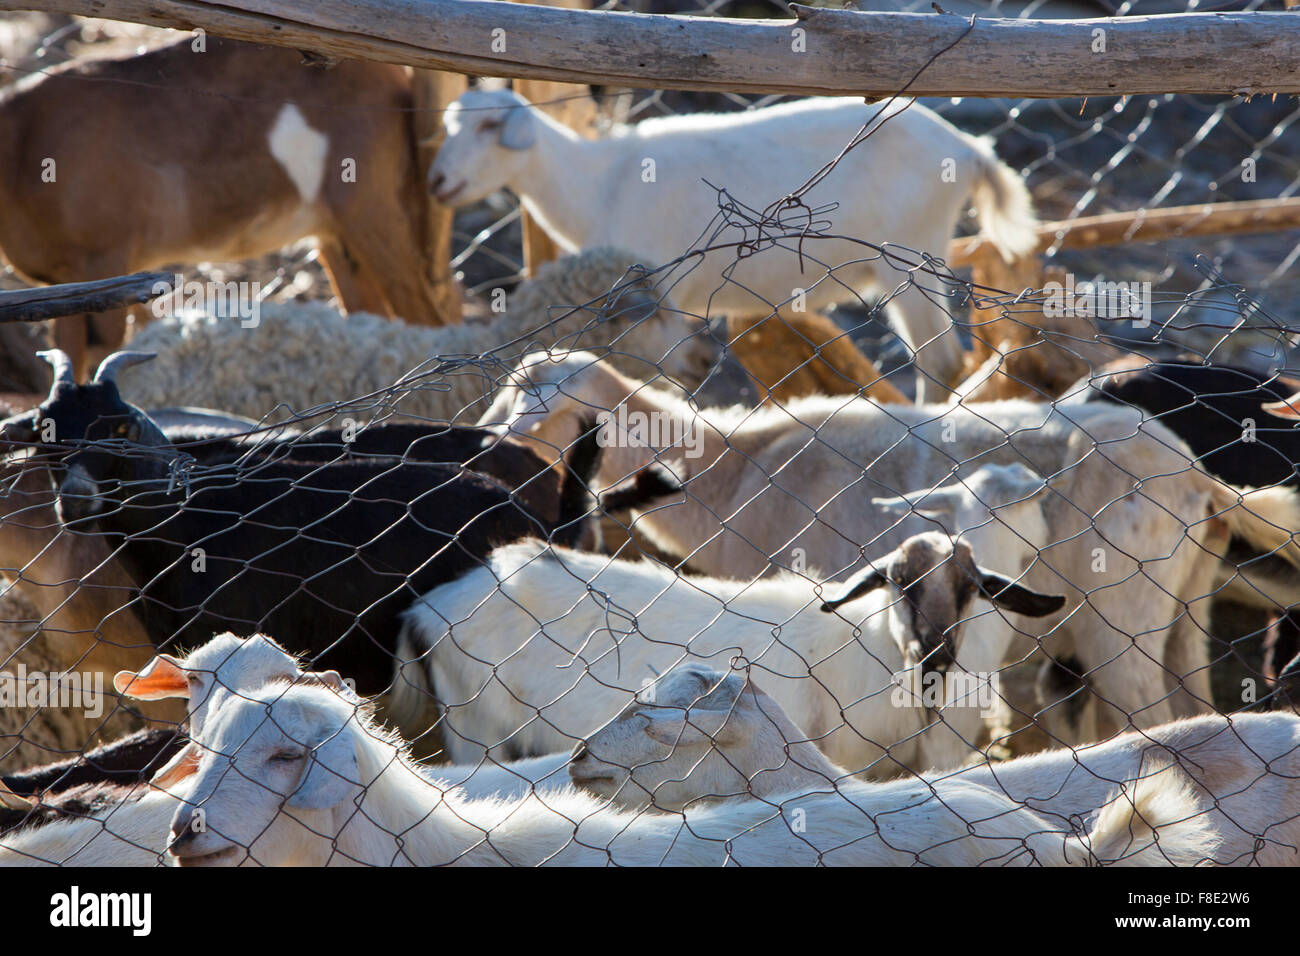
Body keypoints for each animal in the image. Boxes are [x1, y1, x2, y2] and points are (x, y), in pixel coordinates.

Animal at [429, 89, 1037, 401]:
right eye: (451, 123)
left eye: (488, 127)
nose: (437, 181)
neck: (599, 180)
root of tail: (969, 148)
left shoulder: (663, 288)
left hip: (907, 255)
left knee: (939, 360)